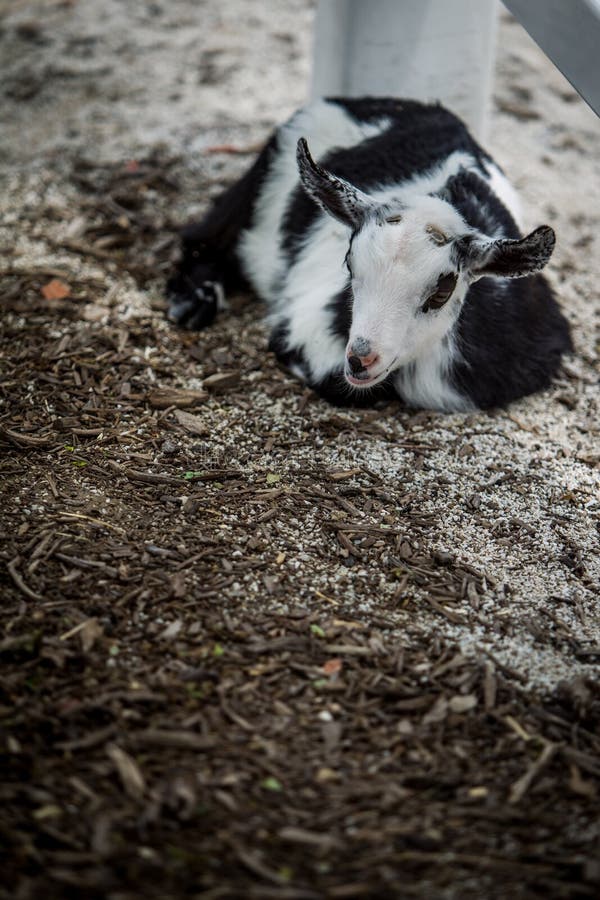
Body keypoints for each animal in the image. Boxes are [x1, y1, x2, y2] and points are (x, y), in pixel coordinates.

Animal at [167, 97, 572, 411]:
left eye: (442, 291)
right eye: (350, 265)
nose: (360, 359)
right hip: (260, 182)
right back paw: (194, 301)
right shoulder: (305, 322)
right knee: (209, 232)